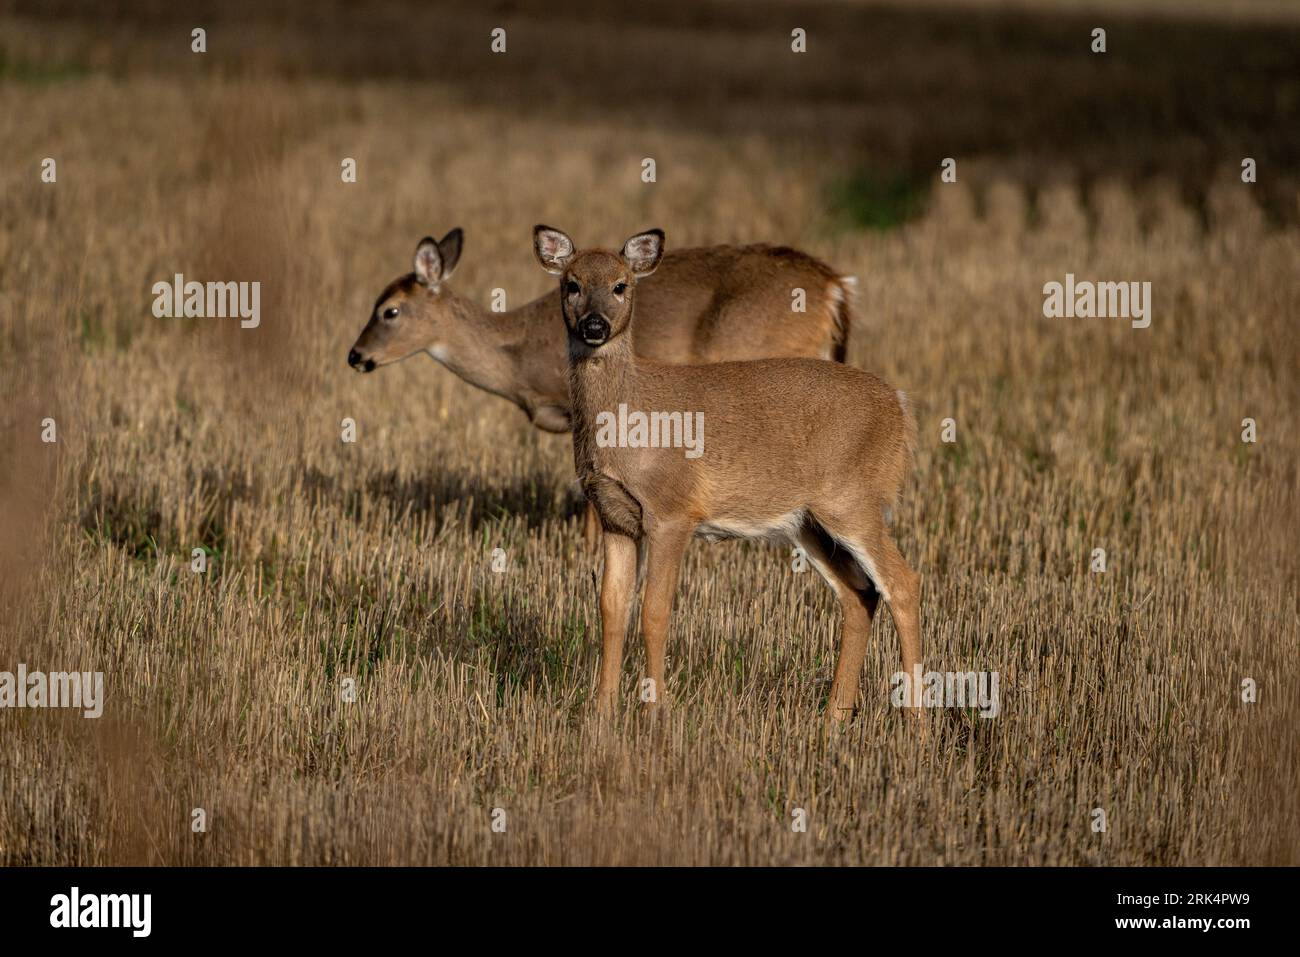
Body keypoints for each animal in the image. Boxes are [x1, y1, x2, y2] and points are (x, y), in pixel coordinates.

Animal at [532, 225, 924, 723]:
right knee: (859, 594)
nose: (594, 326)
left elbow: (655, 612)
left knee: (902, 583)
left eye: (621, 285)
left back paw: (918, 724)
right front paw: (601, 713)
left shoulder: (672, 510)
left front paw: (656, 710)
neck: (628, 416)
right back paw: (835, 717)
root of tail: (900, 407)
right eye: (572, 284)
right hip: (809, 521)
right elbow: (611, 608)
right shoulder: (615, 516)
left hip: (854, 500)